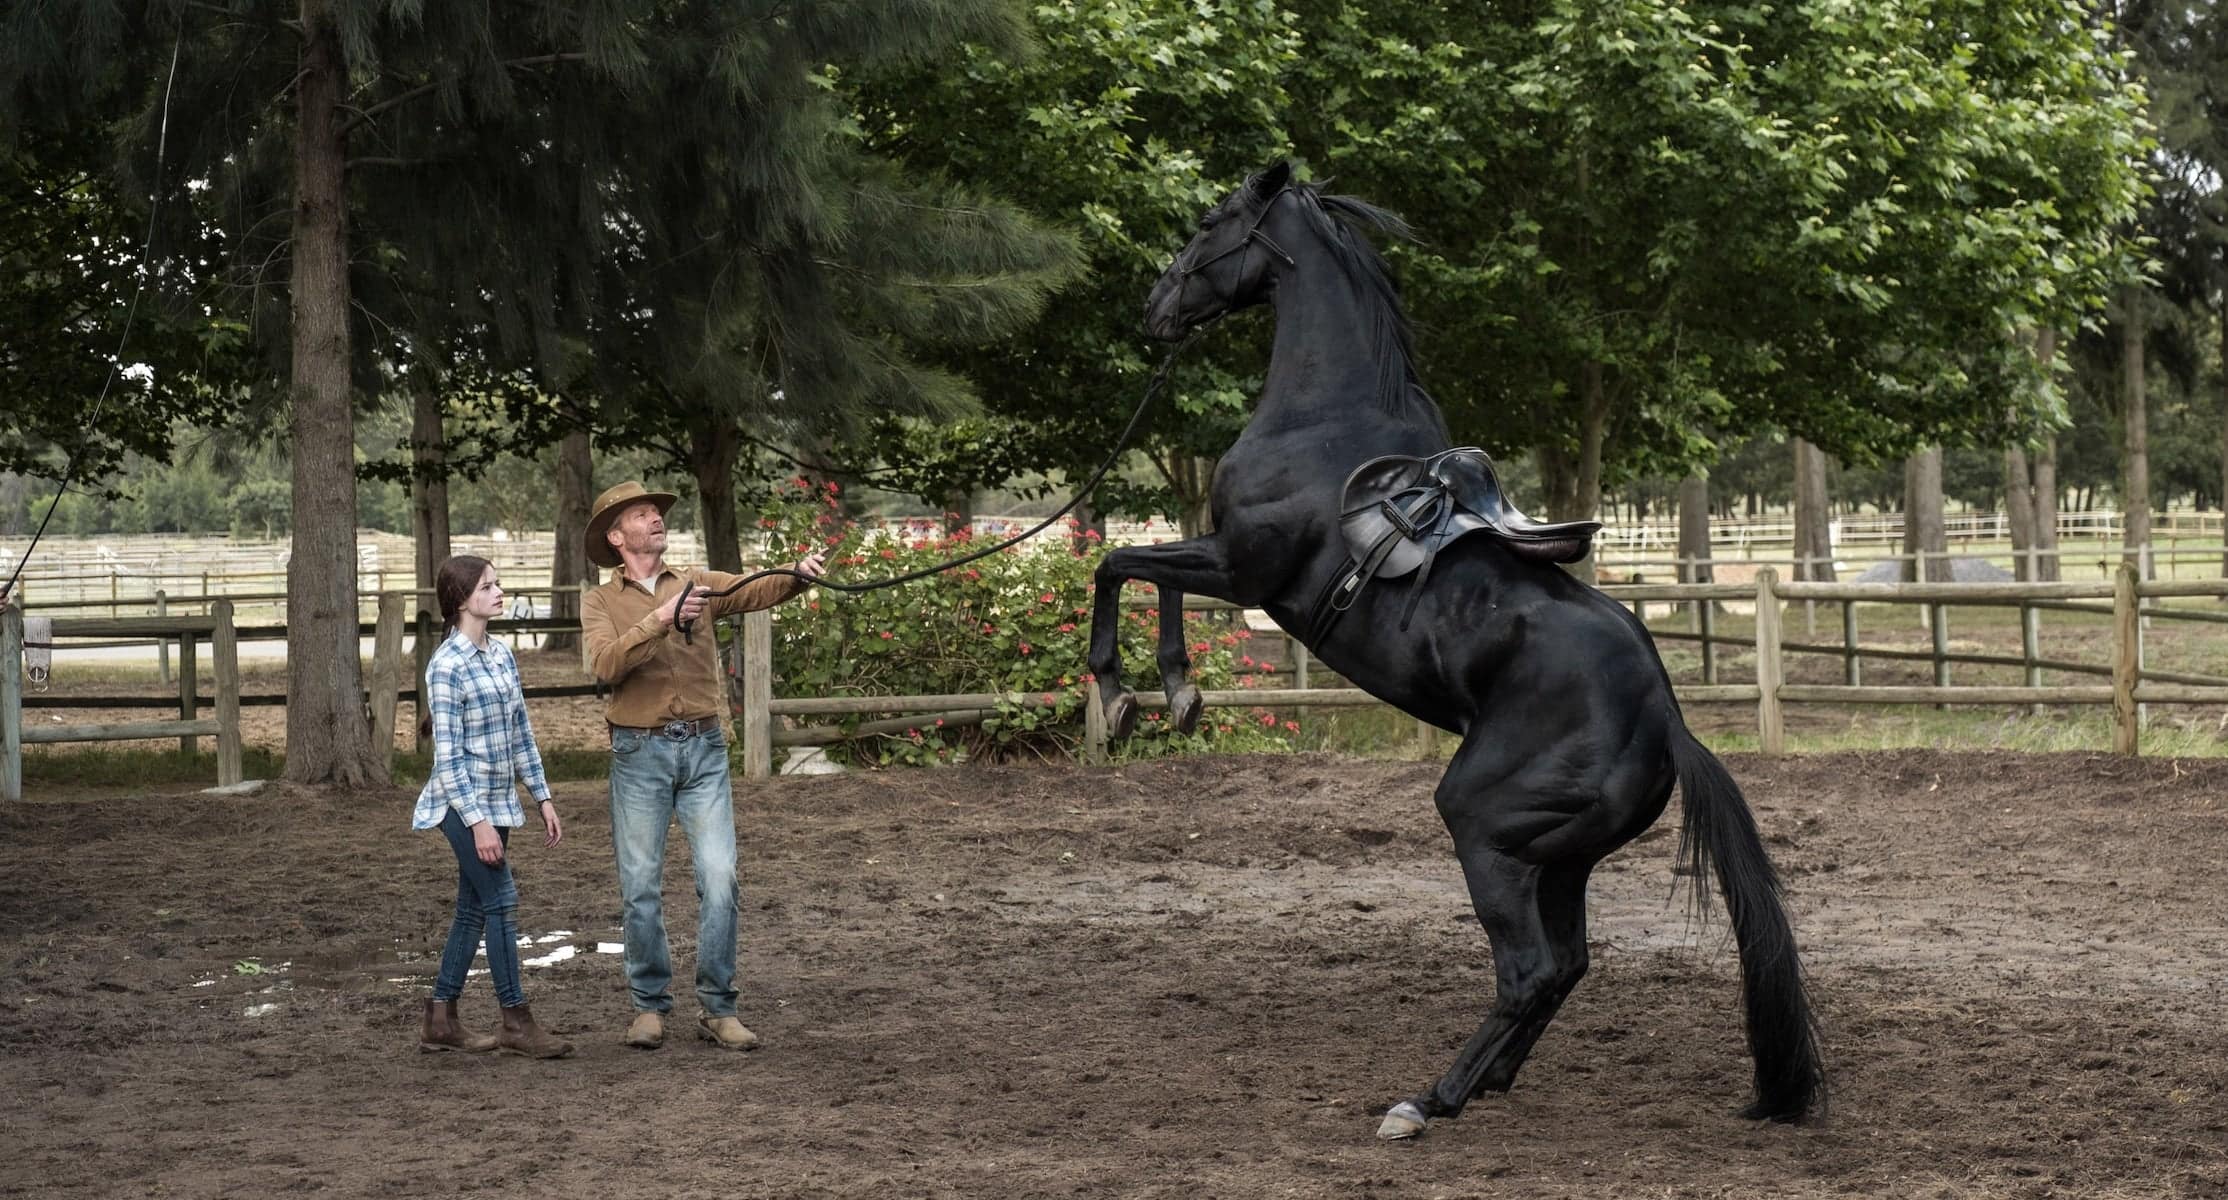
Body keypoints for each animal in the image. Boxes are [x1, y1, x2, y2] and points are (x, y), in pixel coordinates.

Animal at [1087, 161, 1823, 1140]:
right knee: (1567, 965)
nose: (1156, 305)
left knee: (1530, 970)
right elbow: (1144, 574)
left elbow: (1120, 565)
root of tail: (1667, 722)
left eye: (1210, 223)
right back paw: (1490, 1079)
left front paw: (1133, 690)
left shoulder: (1243, 569)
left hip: (1483, 827)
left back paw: (1430, 1099)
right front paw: (1171, 693)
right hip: (1557, 858)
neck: (1322, 420)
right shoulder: (1233, 569)